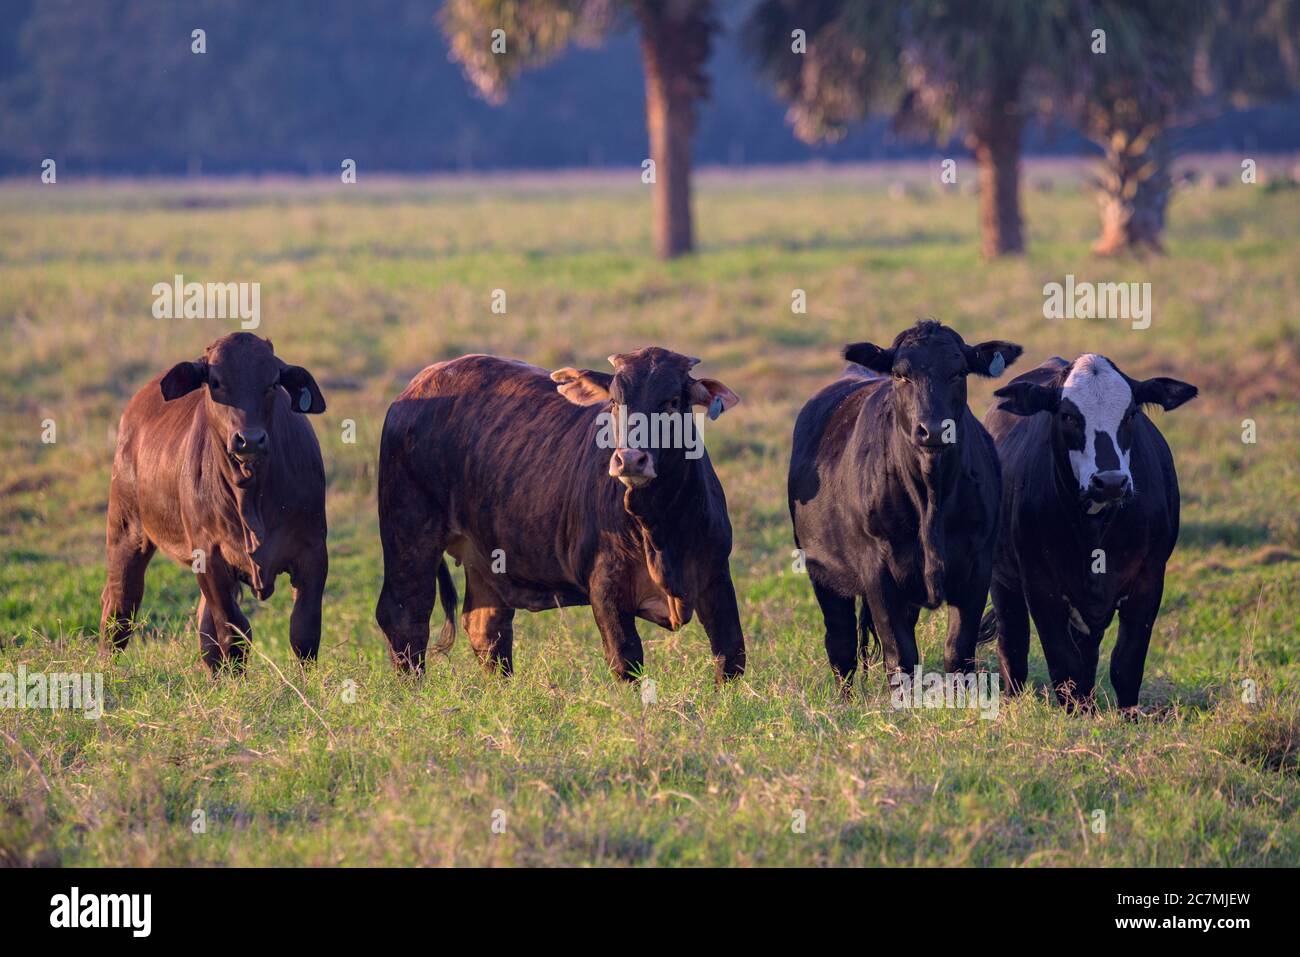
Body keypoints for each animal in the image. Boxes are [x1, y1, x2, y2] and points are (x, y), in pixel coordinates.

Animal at [100, 333, 329, 672]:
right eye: (217, 382)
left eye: (273, 382)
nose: (250, 440)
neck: (250, 497)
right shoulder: (209, 555)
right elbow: (232, 631)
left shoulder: (313, 551)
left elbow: (303, 630)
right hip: (125, 529)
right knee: (120, 603)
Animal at [374, 347, 746, 683]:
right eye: (615, 402)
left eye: (671, 401)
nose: (629, 459)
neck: (660, 527)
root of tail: (415, 389)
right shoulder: (605, 587)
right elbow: (626, 660)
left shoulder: (716, 576)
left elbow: (731, 657)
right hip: (410, 537)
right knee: (405, 616)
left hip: (485, 559)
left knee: (486, 627)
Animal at [788, 320, 1022, 694]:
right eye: (900, 375)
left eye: (959, 372)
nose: (934, 430)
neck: (931, 499)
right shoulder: (877, 571)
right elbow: (901, 658)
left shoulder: (977, 567)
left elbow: (958, 652)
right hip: (821, 571)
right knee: (840, 644)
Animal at [981, 354, 1197, 711]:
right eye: (1068, 416)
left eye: (1131, 414)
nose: (1110, 482)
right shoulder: (1039, 584)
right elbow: (1065, 666)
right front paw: (1077, 716)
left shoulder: (1149, 578)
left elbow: (1125, 664)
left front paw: (1126, 717)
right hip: (1003, 581)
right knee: (1012, 649)